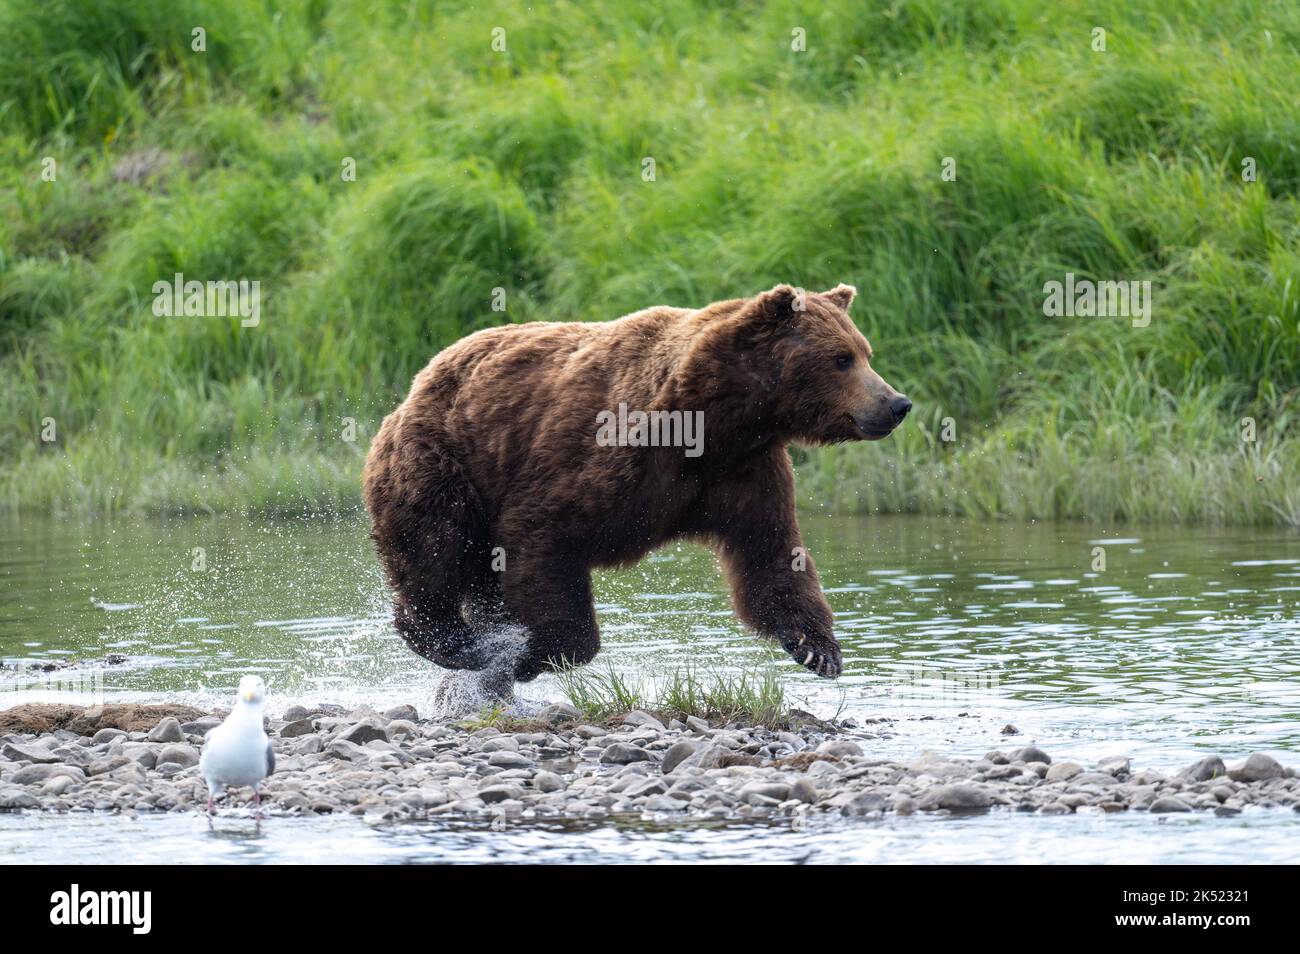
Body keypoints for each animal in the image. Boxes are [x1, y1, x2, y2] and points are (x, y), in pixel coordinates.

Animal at [362, 283, 910, 691]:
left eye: (865, 352)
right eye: (841, 358)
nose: (897, 403)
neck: (712, 419)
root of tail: (418, 381)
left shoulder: (743, 472)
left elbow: (771, 550)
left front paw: (818, 648)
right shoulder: (612, 452)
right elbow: (542, 533)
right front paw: (530, 651)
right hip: (440, 461)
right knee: (437, 548)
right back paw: (456, 642)